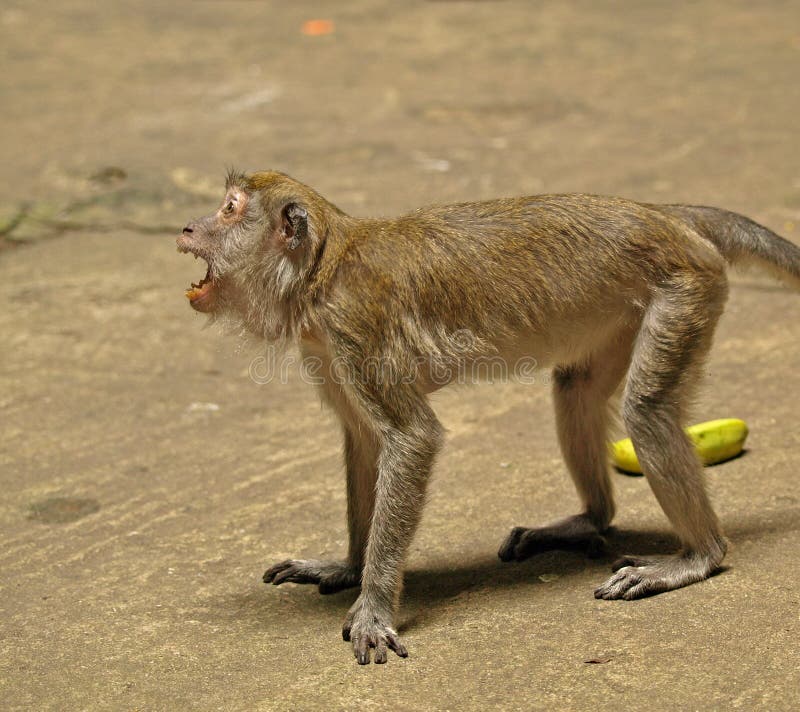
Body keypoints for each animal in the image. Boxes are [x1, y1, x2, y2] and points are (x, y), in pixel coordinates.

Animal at [178, 170, 800, 665]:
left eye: (230, 208)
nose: (187, 227)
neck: (323, 267)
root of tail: (665, 215)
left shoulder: (354, 324)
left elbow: (412, 438)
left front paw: (375, 606)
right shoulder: (328, 347)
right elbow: (363, 441)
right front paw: (348, 567)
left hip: (684, 285)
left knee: (645, 413)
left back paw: (699, 556)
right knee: (574, 391)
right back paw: (589, 519)